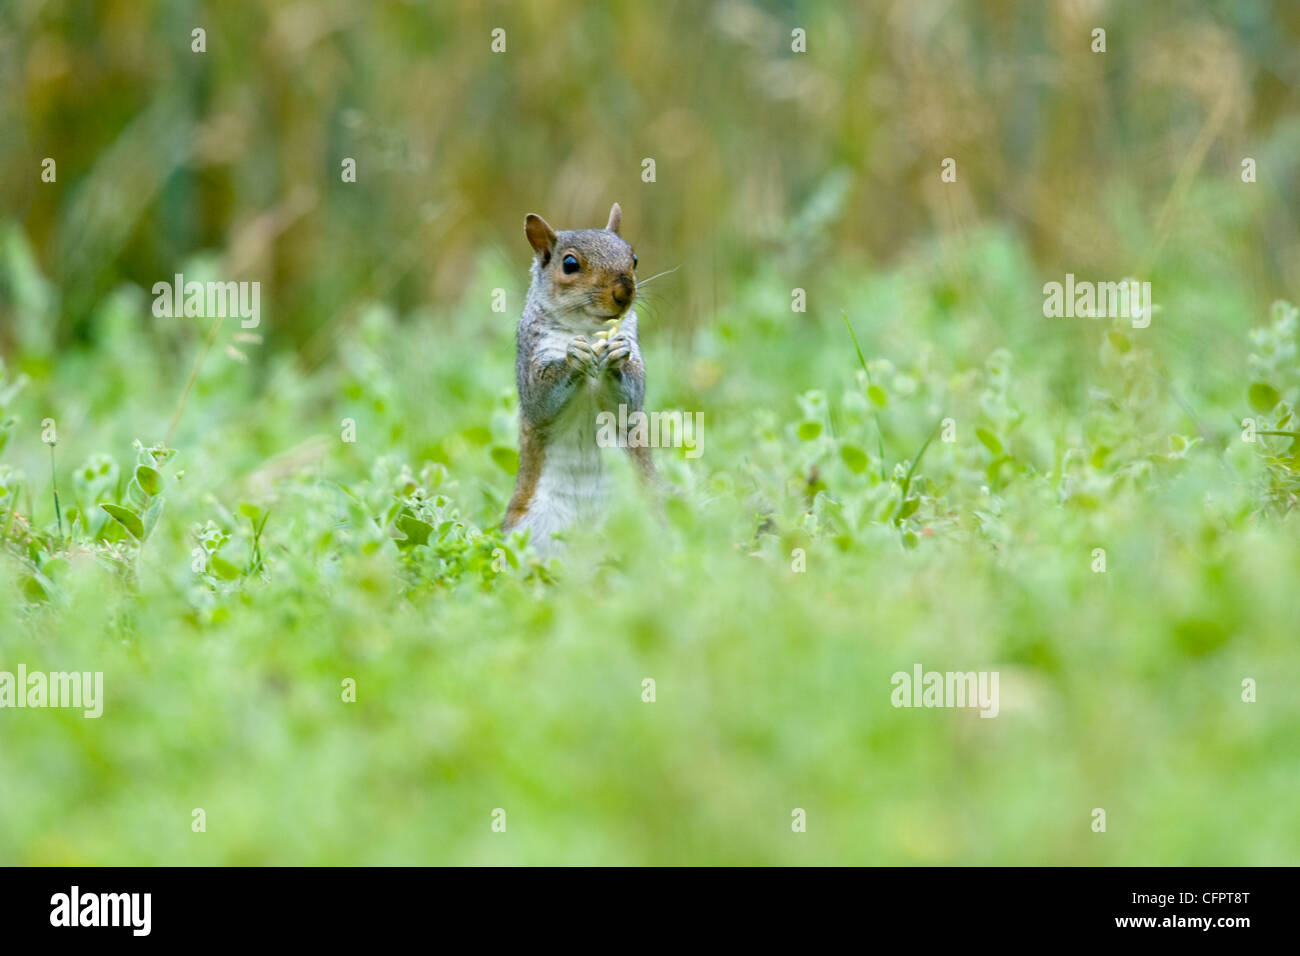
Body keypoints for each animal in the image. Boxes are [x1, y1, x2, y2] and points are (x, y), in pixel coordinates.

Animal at [503, 203, 655, 553]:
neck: (588, 328)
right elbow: (539, 401)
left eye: (634, 258)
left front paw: (617, 355)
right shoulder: (531, 355)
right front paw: (573, 357)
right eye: (569, 264)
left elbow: (630, 401)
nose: (624, 292)